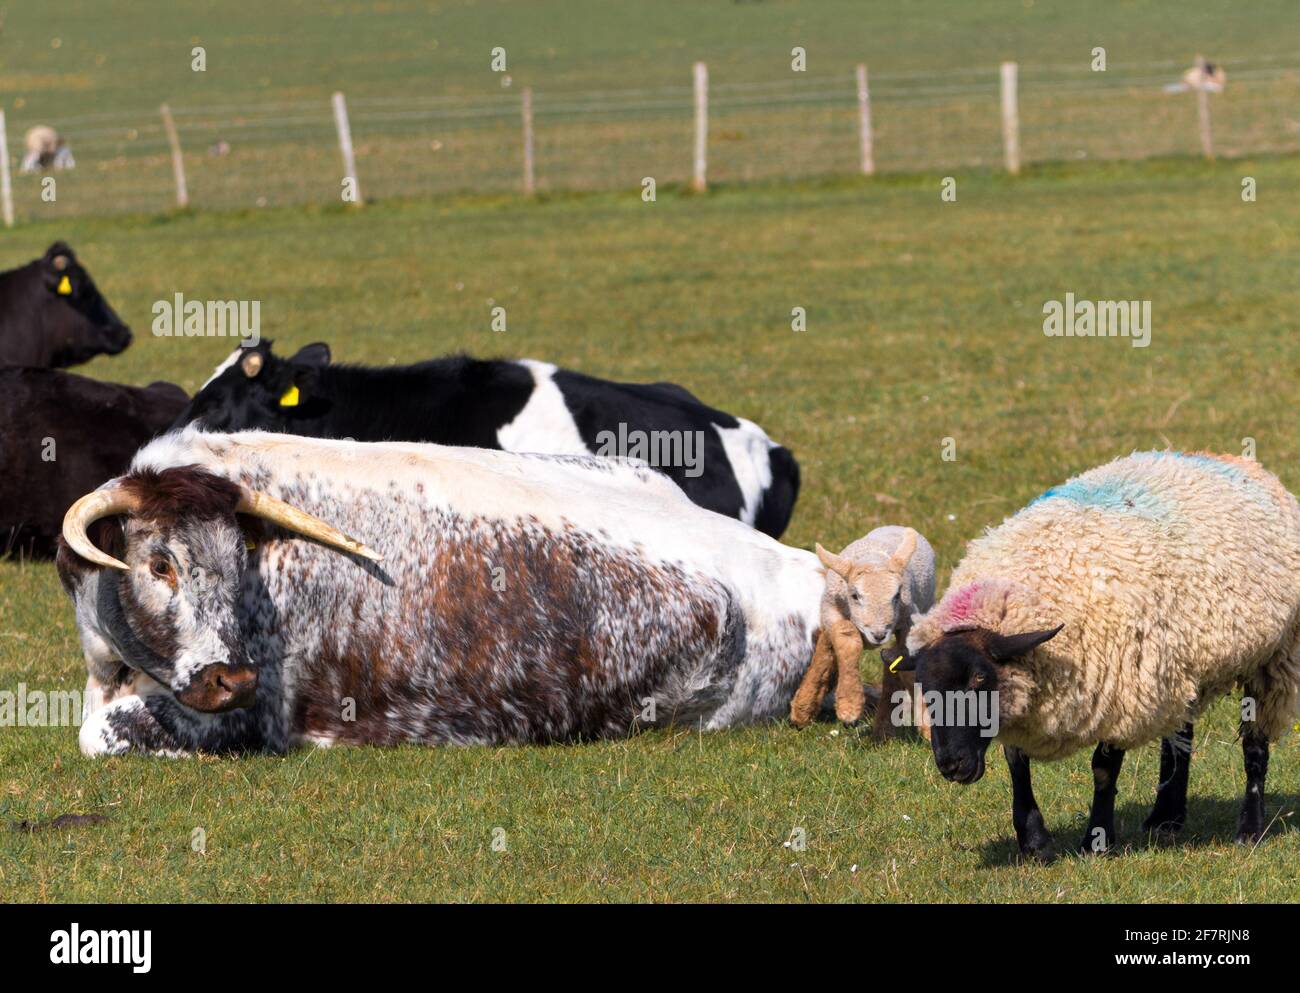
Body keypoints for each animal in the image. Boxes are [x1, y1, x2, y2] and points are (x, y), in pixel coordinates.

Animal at [790, 525, 935, 738]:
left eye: (897, 595)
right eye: (855, 595)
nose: (879, 634)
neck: (872, 559)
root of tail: (895, 526)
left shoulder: (908, 619)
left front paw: (927, 723)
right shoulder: (832, 612)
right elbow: (846, 639)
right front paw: (849, 705)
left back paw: (884, 728)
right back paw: (803, 707)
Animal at [892, 451, 1300, 859]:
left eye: (979, 679)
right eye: (924, 687)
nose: (951, 765)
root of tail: (1236, 461)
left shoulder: (1121, 690)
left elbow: (1104, 768)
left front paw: (1097, 839)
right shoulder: (1020, 693)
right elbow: (1016, 763)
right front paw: (1034, 841)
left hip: (1272, 657)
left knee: (1254, 745)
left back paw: (1249, 829)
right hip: (1180, 666)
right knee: (1180, 733)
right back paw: (1166, 817)